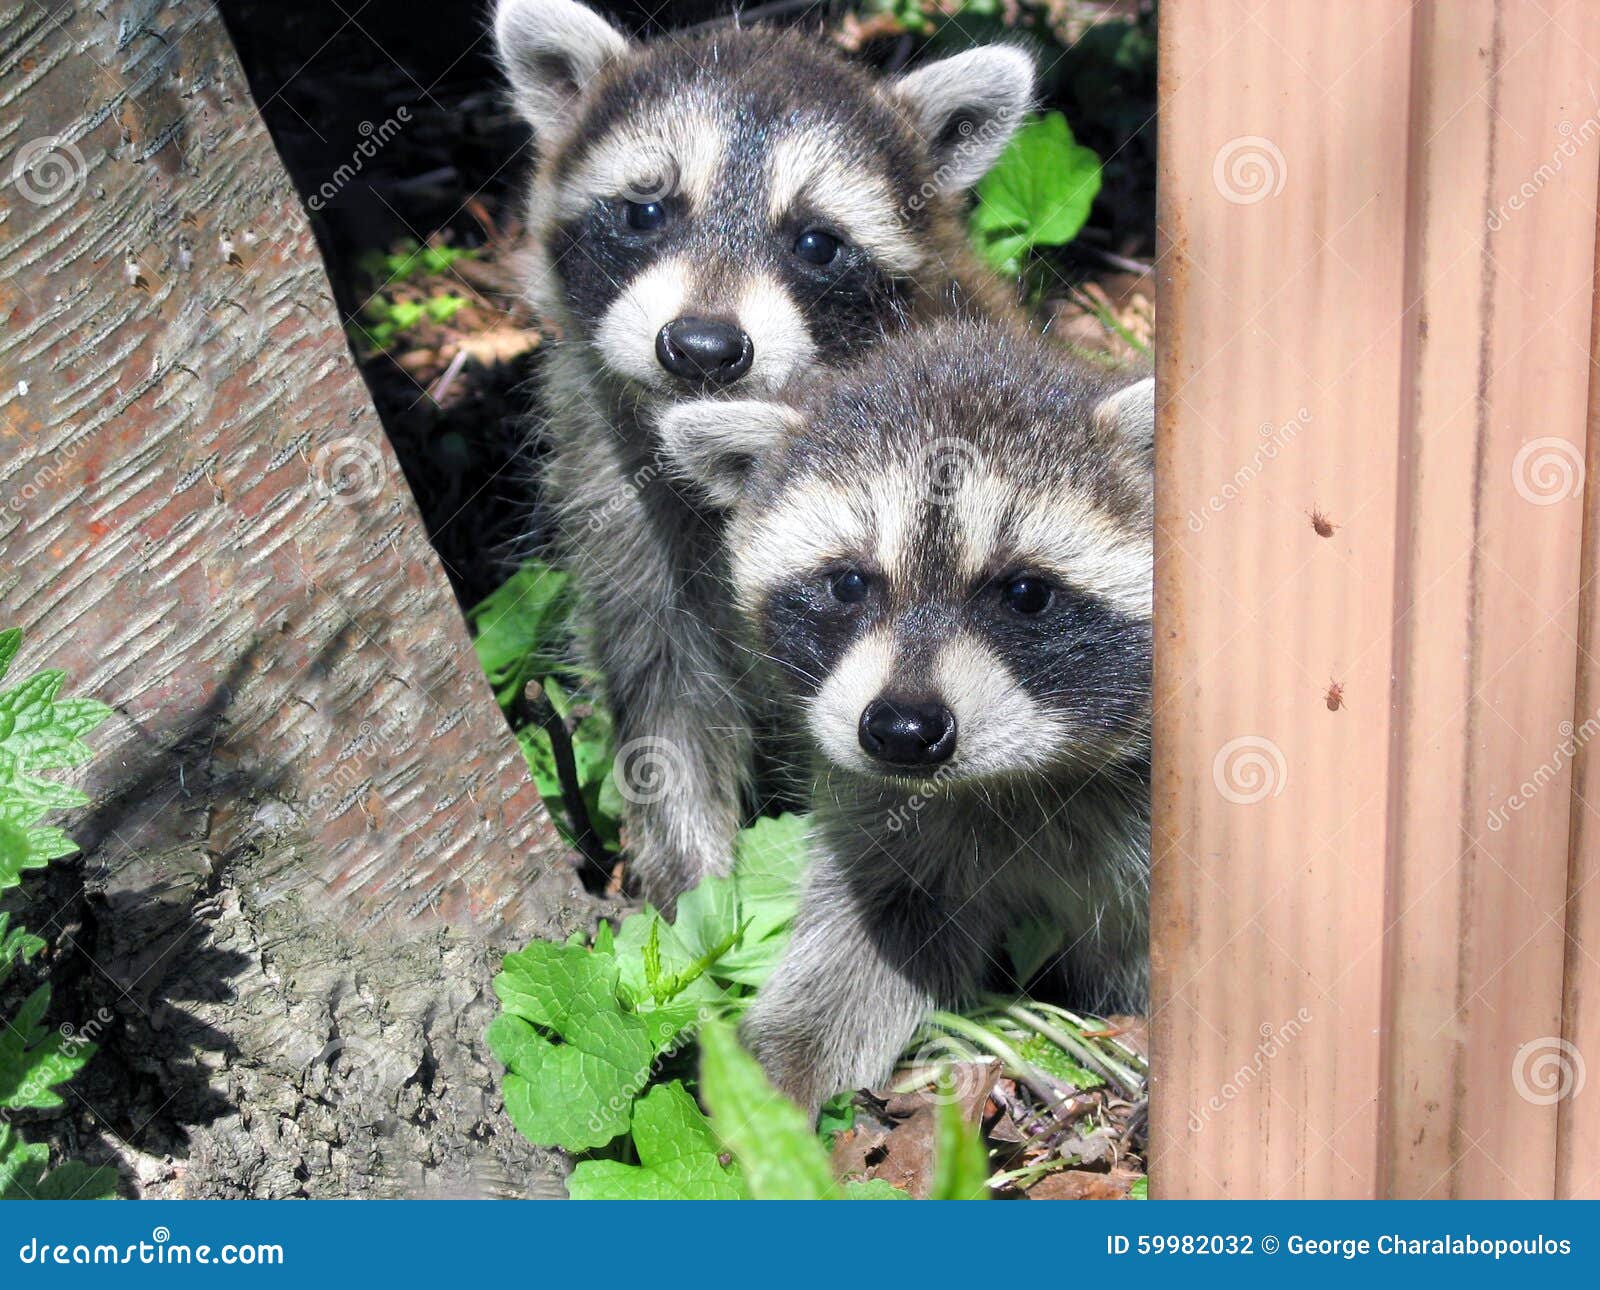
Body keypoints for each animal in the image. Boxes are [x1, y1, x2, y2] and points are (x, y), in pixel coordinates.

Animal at [492, 0, 1033, 906]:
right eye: (646, 211)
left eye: (815, 243)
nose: (703, 349)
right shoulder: (613, 481)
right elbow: (664, 702)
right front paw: (690, 895)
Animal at [656, 319, 1154, 1114]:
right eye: (847, 583)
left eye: (1025, 593)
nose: (903, 734)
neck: (1018, 780)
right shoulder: (883, 808)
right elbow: (876, 928)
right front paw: (777, 1079)